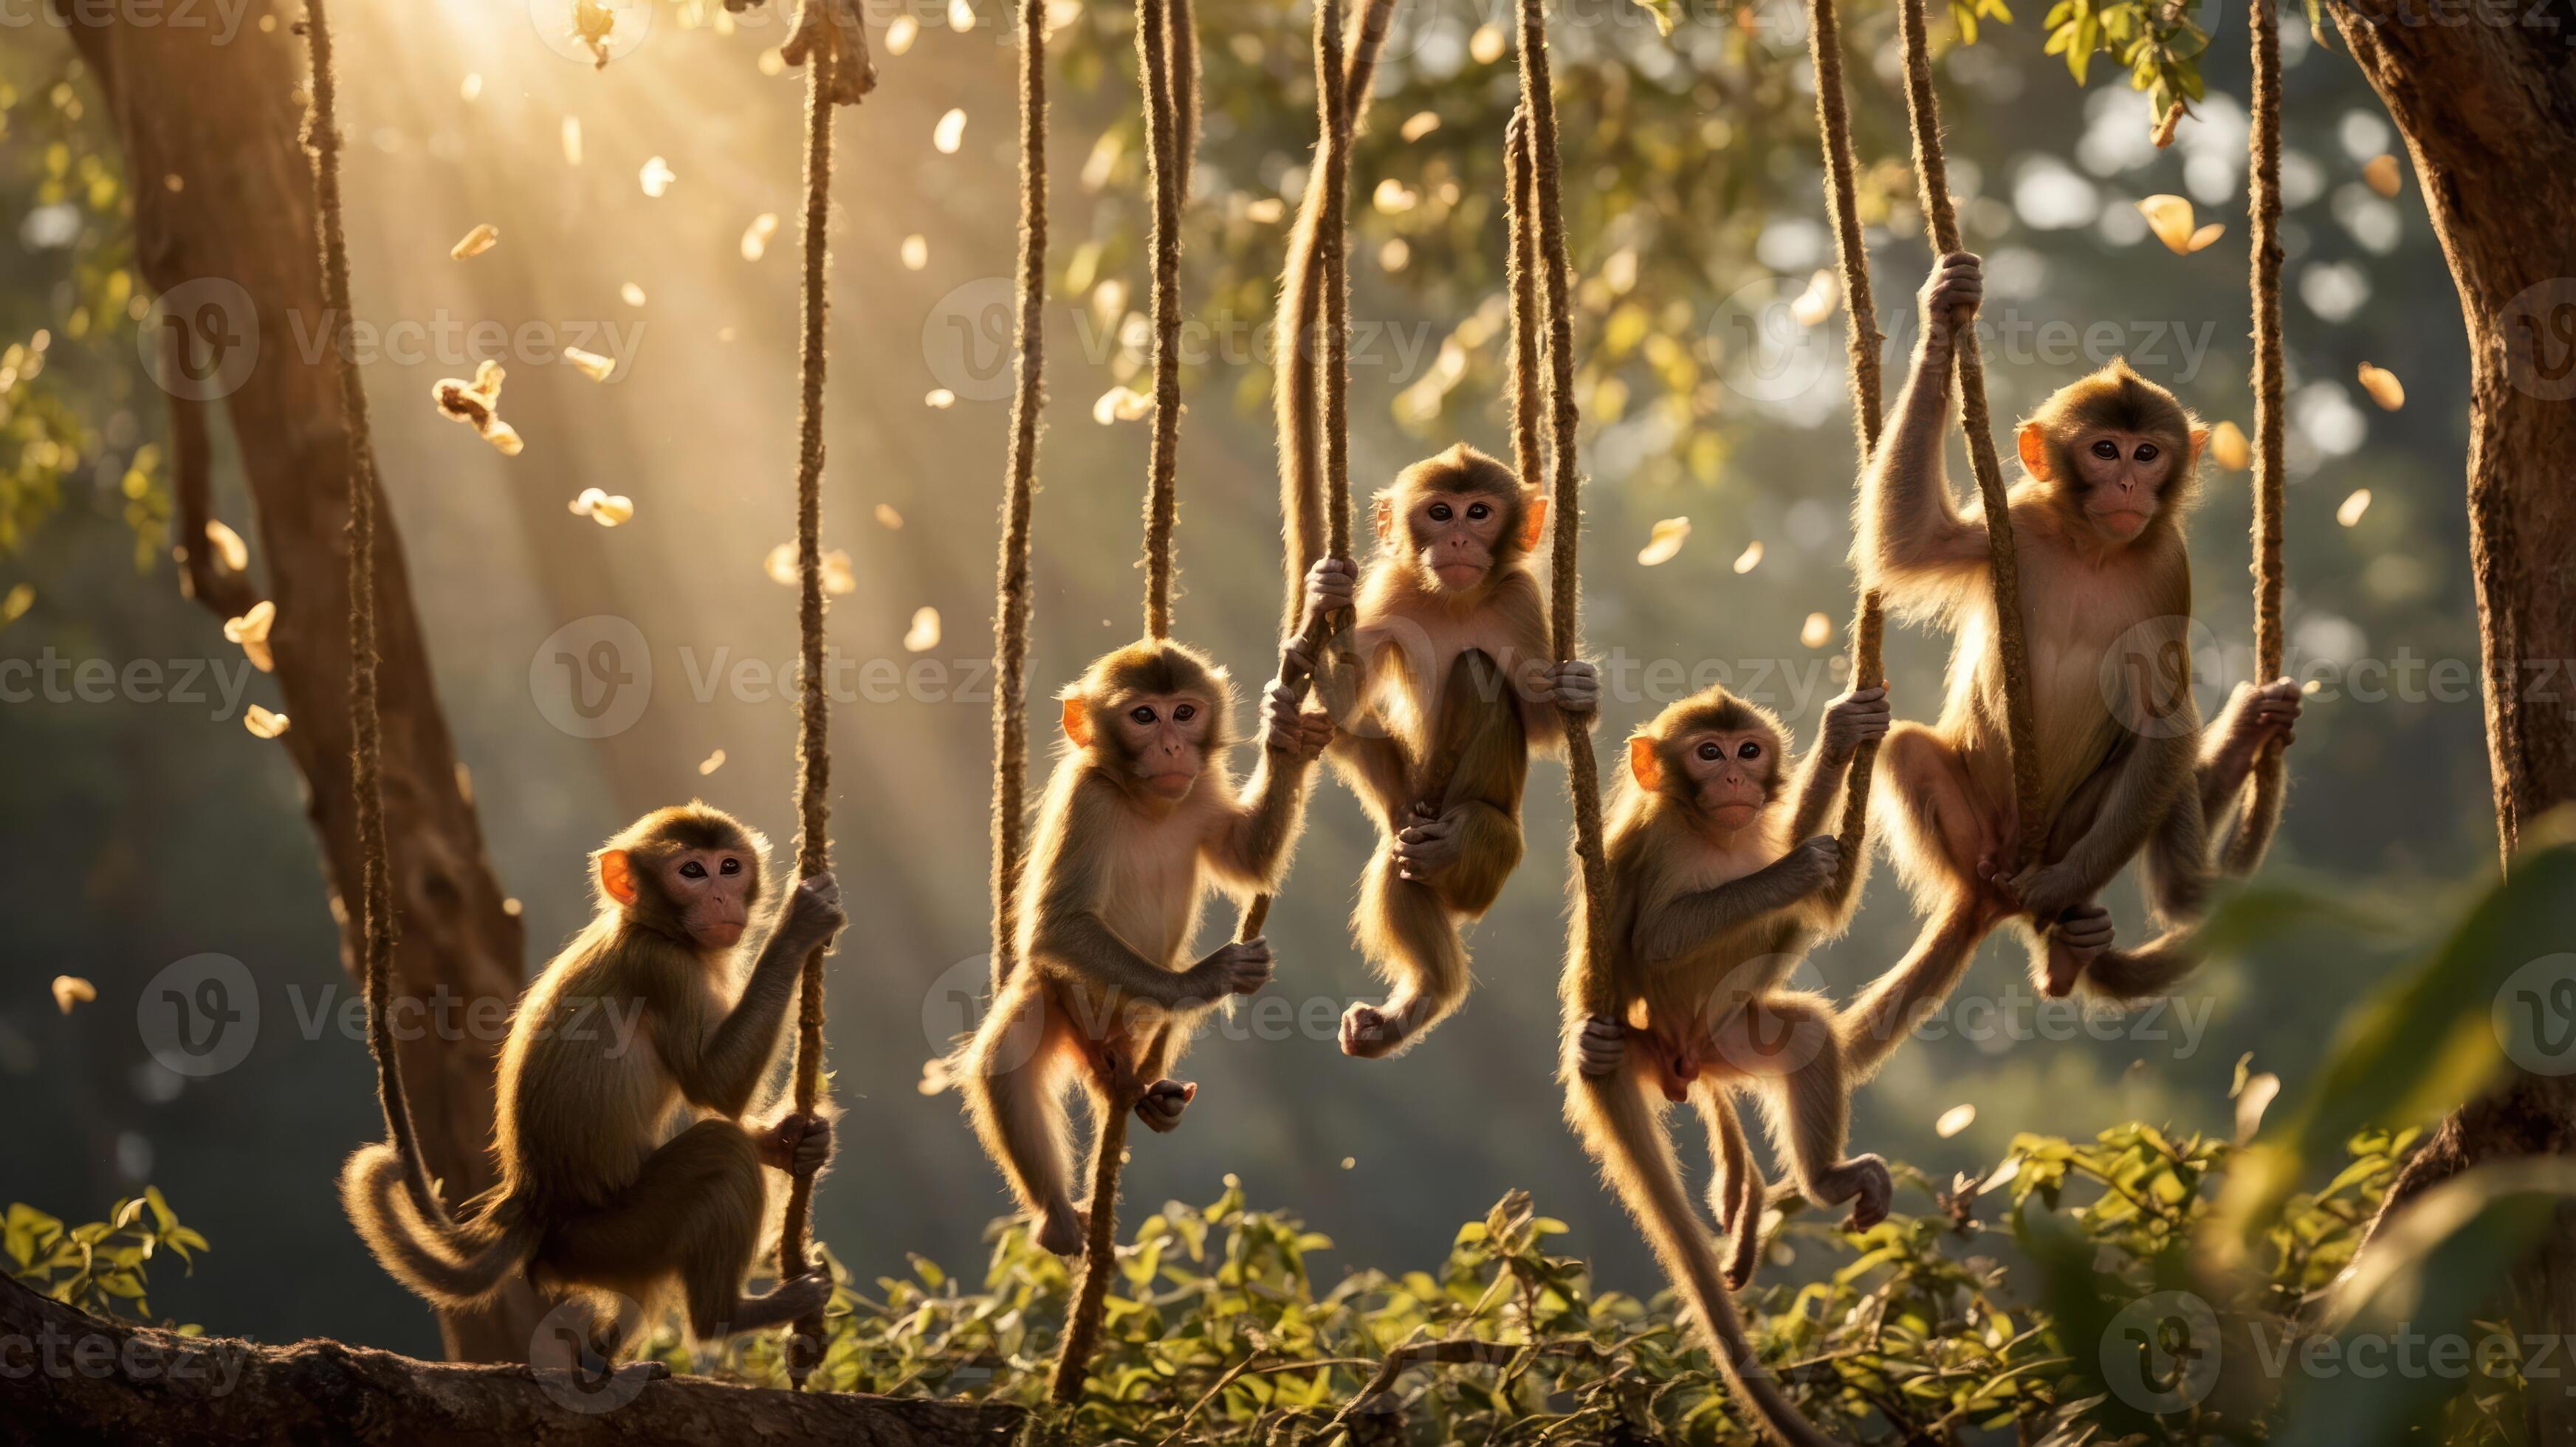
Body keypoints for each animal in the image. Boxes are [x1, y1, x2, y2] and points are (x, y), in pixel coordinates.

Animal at [341, 803, 847, 1355]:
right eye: (692, 871)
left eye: (729, 867)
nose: (720, 896)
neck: (653, 928)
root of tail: (530, 1207)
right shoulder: (663, 968)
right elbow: (715, 1087)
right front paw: (799, 924)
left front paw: (793, 1142)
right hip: (617, 1236)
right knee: (720, 1151)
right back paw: (726, 1317)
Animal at [957, 633, 1332, 1255]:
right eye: (1142, 717)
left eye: (1183, 712)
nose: (1172, 746)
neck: (1144, 801)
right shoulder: (1087, 799)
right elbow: (1056, 925)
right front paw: (1203, 979)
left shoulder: (1199, 790)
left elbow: (1246, 858)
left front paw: (1289, 734)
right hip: (1058, 994)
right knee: (1006, 1062)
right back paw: (1056, 1215)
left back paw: (1147, 1095)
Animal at [1560, 684, 1893, 1447]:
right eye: (1707, 753)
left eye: (1747, 749)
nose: (1737, 779)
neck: (1714, 836)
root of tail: (1680, 1061)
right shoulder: (1654, 842)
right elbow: (1658, 938)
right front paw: (1793, 869)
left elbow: (1820, 905)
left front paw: (1844, 733)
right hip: (1640, 1045)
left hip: (1726, 1040)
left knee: (1807, 1037)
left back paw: (1826, 1181)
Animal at [1839, 250, 2305, 1080]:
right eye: (2104, 449)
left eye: (2147, 454)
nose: (2125, 484)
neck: (2093, 549)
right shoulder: (2019, 522)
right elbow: (1909, 541)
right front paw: (1943, 311)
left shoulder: (2167, 565)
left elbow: (2163, 720)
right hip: (1981, 827)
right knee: (1908, 751)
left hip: (2078, 828)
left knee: (2160, 762)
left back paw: (2113, 916)